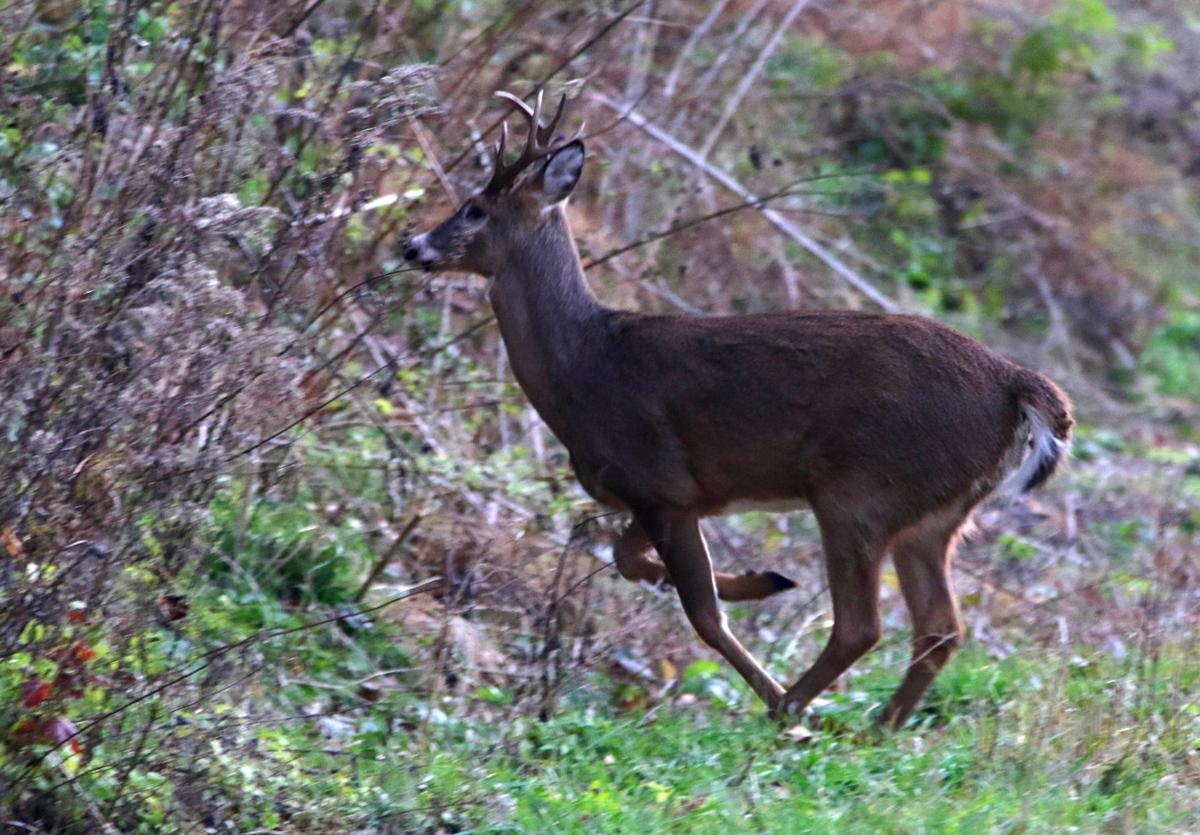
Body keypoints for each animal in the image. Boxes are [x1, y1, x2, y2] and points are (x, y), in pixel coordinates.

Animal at [404, 91, 1073, 728]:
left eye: (474, 208)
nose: (412, 245)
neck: (585, 369)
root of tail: (1019, 386)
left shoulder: (661, 483)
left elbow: (702, 614)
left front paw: (757, 621)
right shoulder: (678, 494)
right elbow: (627, 558)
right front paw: (758, 581)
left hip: (861, 491)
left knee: (864, 626)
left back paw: (791, 711)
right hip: (934, 516)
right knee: (938, 627)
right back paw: (876, 727)